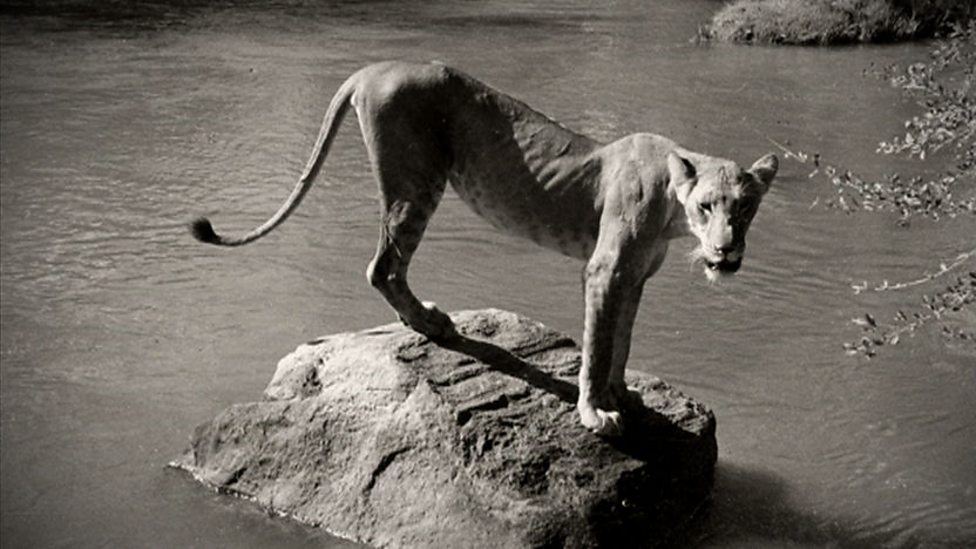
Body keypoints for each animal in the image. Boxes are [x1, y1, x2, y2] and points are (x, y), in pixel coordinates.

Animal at [192, 61, 778, 436]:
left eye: (745, 208)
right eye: (706, 207)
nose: (726, 253)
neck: (672, 214)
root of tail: (373, 67)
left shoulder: (634, 278)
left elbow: (623, 343)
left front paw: (621, 396)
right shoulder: (603, 271)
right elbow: (595, 347)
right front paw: (595, 412)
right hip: (417, 182)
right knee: (382, 266)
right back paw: (433, 324)